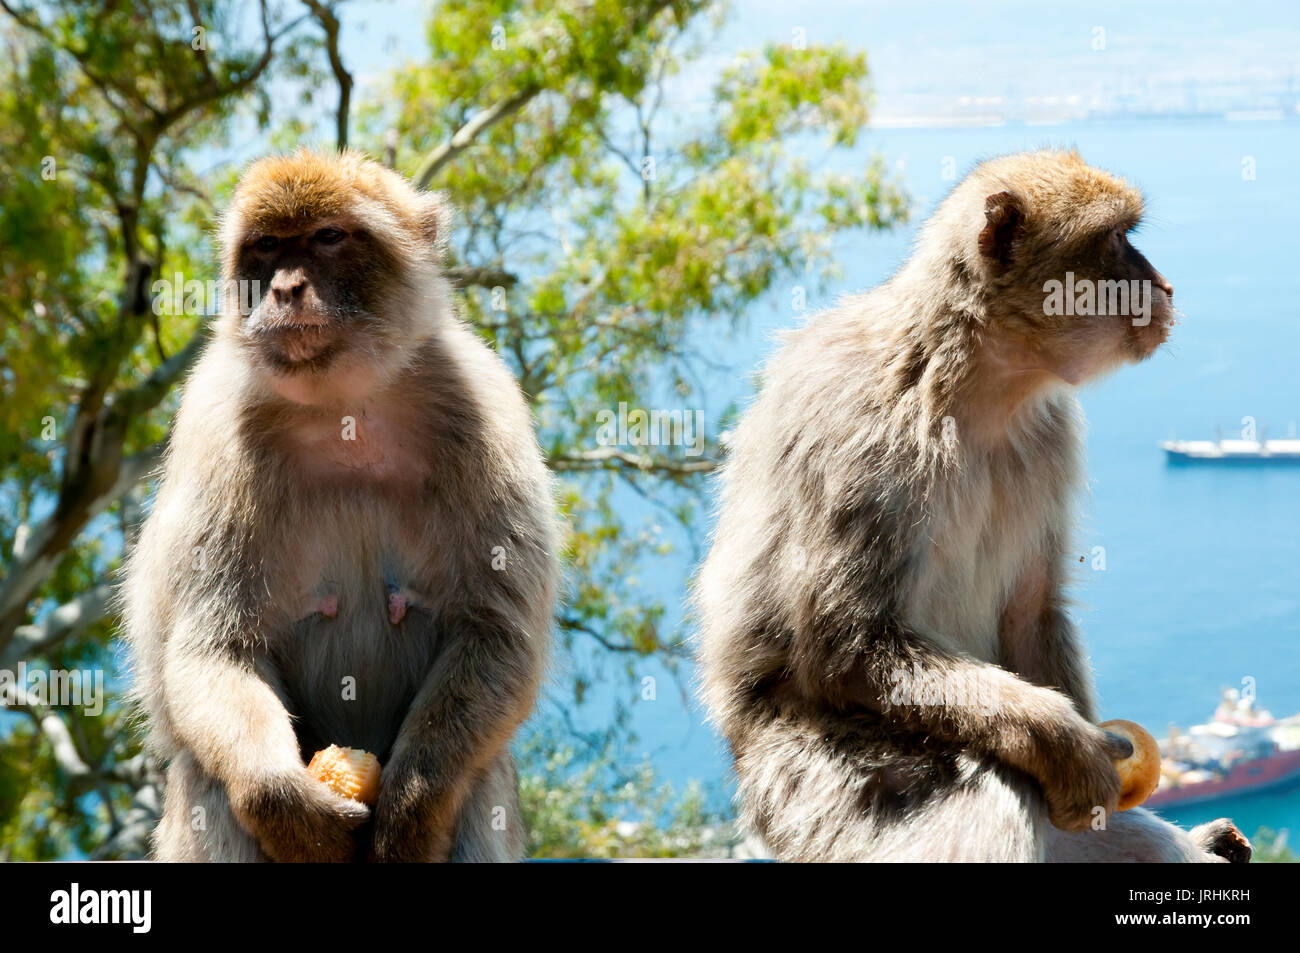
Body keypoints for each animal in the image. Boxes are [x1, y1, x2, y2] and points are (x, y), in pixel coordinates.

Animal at [122, 149, 560, 862]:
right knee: (203, 774)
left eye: (328, 237)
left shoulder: (480, 404)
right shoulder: (216, 429)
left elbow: (495, 633)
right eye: (268, 248)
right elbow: (214, 650)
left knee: (482, 771)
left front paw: (409, 812)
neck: (342, 407)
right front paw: (288, 808)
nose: (284, 289)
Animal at [694, 149, 1251, 863]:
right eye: (1116, 239)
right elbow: (849, 644)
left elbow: (1030, 614)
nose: (1166, 288)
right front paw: (1063, 745)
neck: (970, 383)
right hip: (810, 786)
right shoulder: (855, 427)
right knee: (982, 796)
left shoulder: (1052, 435)